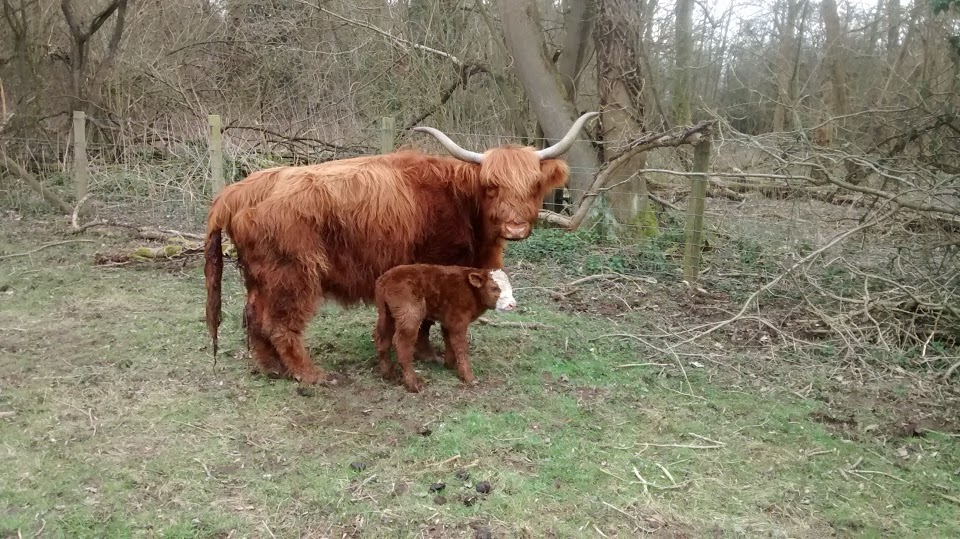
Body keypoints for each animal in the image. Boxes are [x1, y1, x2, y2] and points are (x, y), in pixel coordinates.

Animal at [373, 264, 516, 393]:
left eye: (510, 288)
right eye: (494, 288)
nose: (512, 304)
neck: (471, 291)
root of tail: (384, 279)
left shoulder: (449, 321)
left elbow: (450, 342)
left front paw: (450, 365)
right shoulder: (458, 320)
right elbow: (461, 347)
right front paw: (469, 378)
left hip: (387, 314)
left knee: (381, 338)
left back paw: (388, 374)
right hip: (410, 315)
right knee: (402, 344)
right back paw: (414, 385)